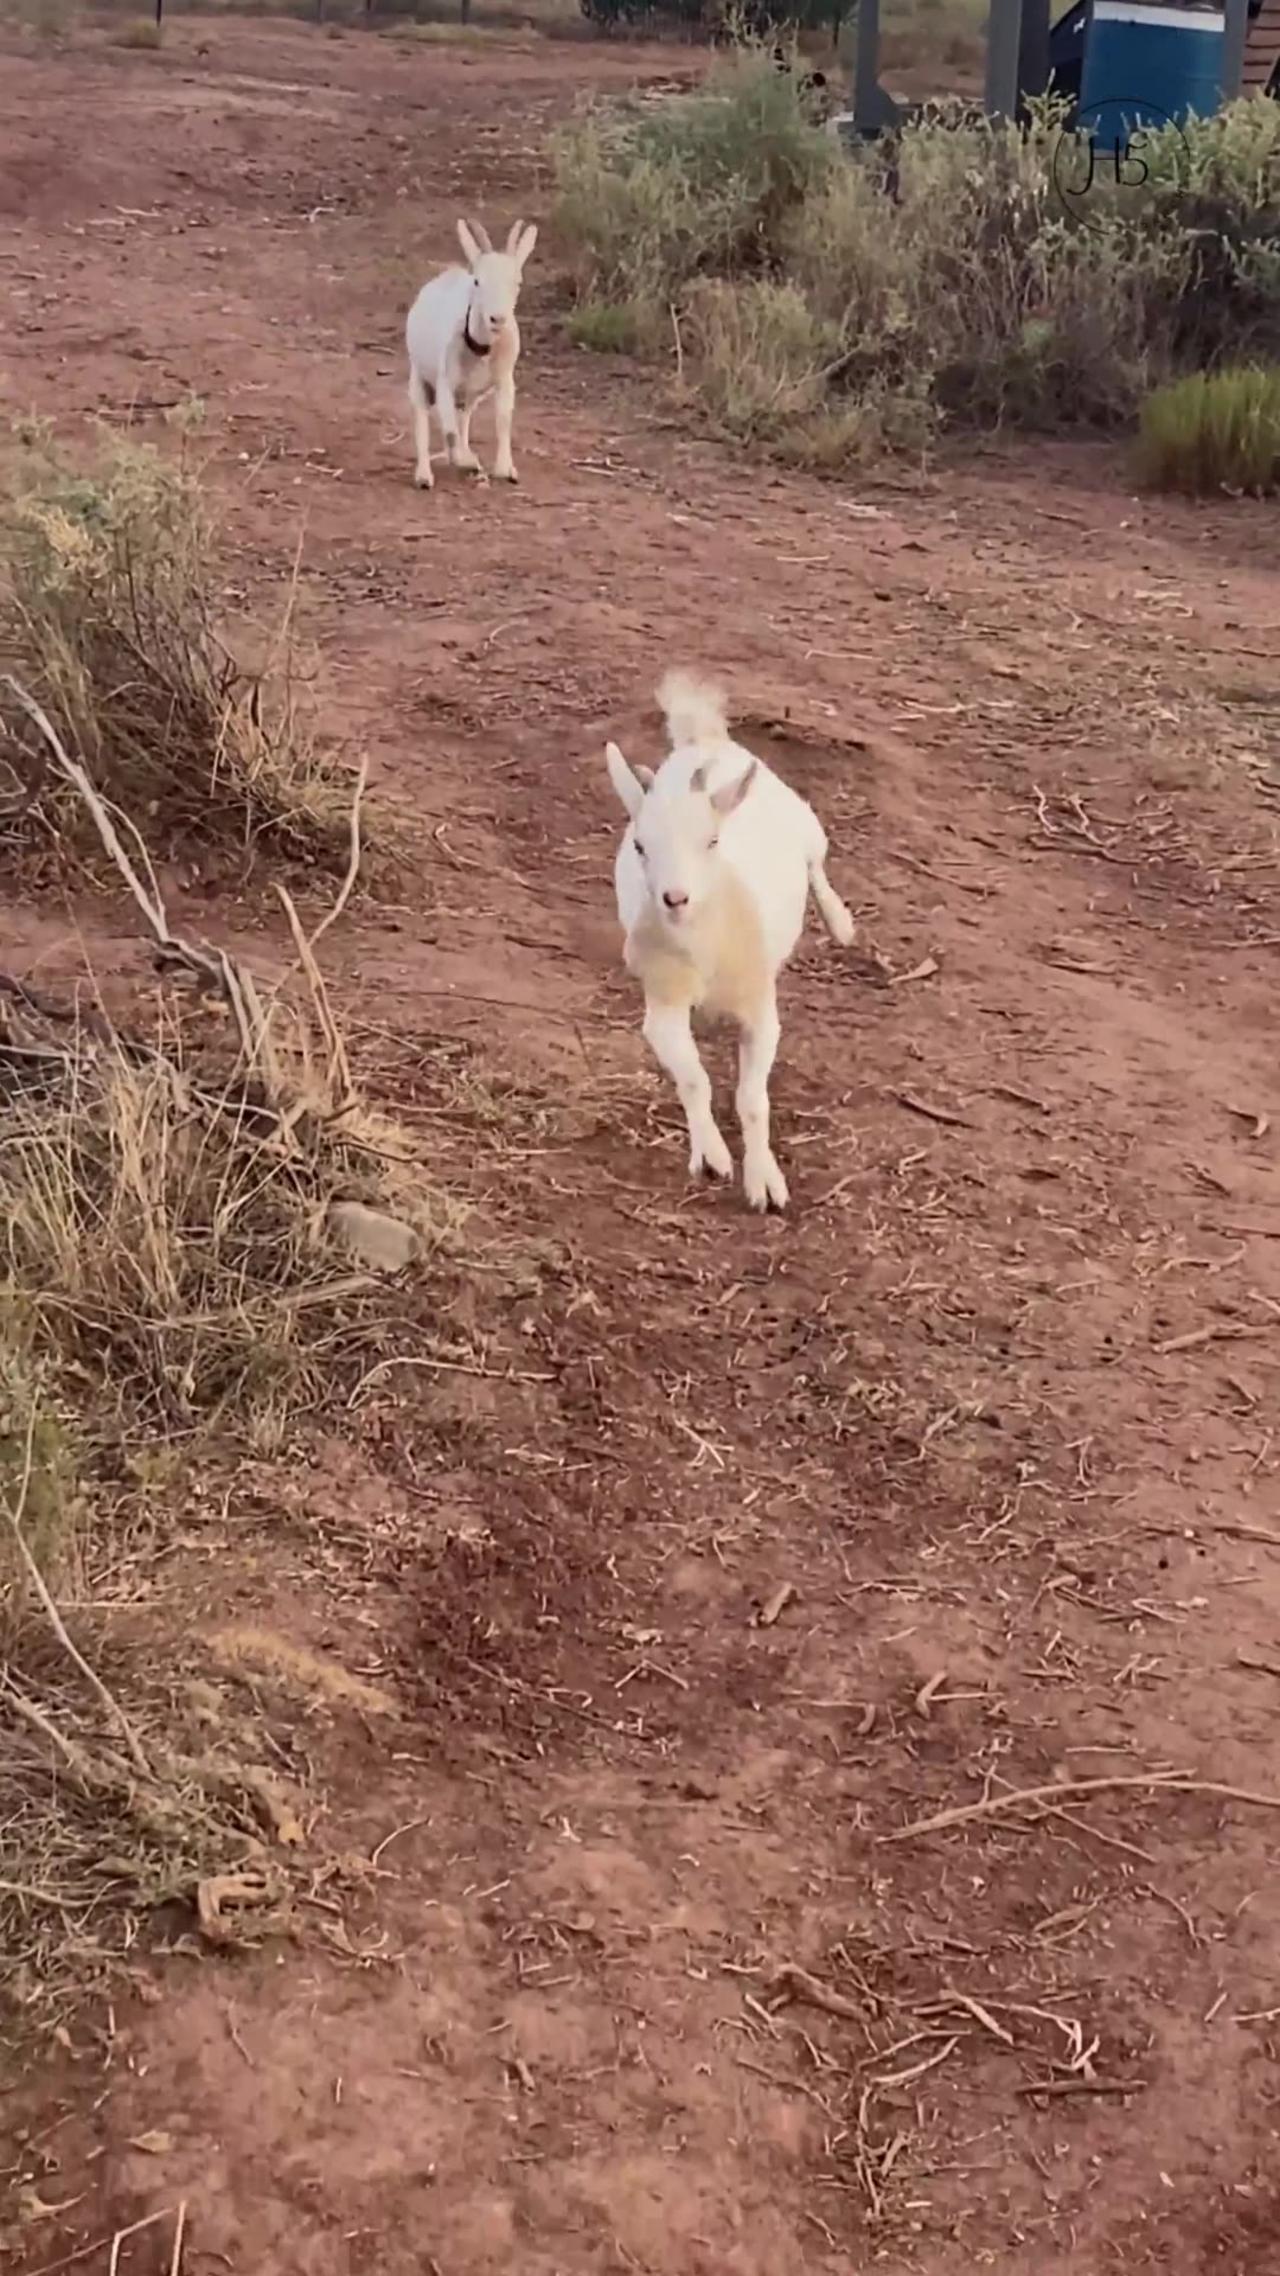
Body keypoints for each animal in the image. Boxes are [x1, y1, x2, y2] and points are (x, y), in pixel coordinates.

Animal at [405, 216, 537, 490]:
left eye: (518, 282)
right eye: (477, 281)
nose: (497, 319)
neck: (482, 350)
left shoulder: (504, 380)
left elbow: (503, 421)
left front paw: (506, 469)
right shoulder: (445, 383)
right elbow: (449, 430)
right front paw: (468, 462)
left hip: (471, 395)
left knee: (463, 418)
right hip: (420, 378)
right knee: (425, 419)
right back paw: (425, 475)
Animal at [605, 671, 855, 1213]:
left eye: (712, 842)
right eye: (640, 846)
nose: (675, 898)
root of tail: (707, 740)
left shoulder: (760, 1010)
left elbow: (753, 1100)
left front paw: (764, 1183)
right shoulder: (664, 1004)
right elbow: (694, 1077)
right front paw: (713, 1156)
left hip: (808, 825)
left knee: (816, 864)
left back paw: (841, 922)